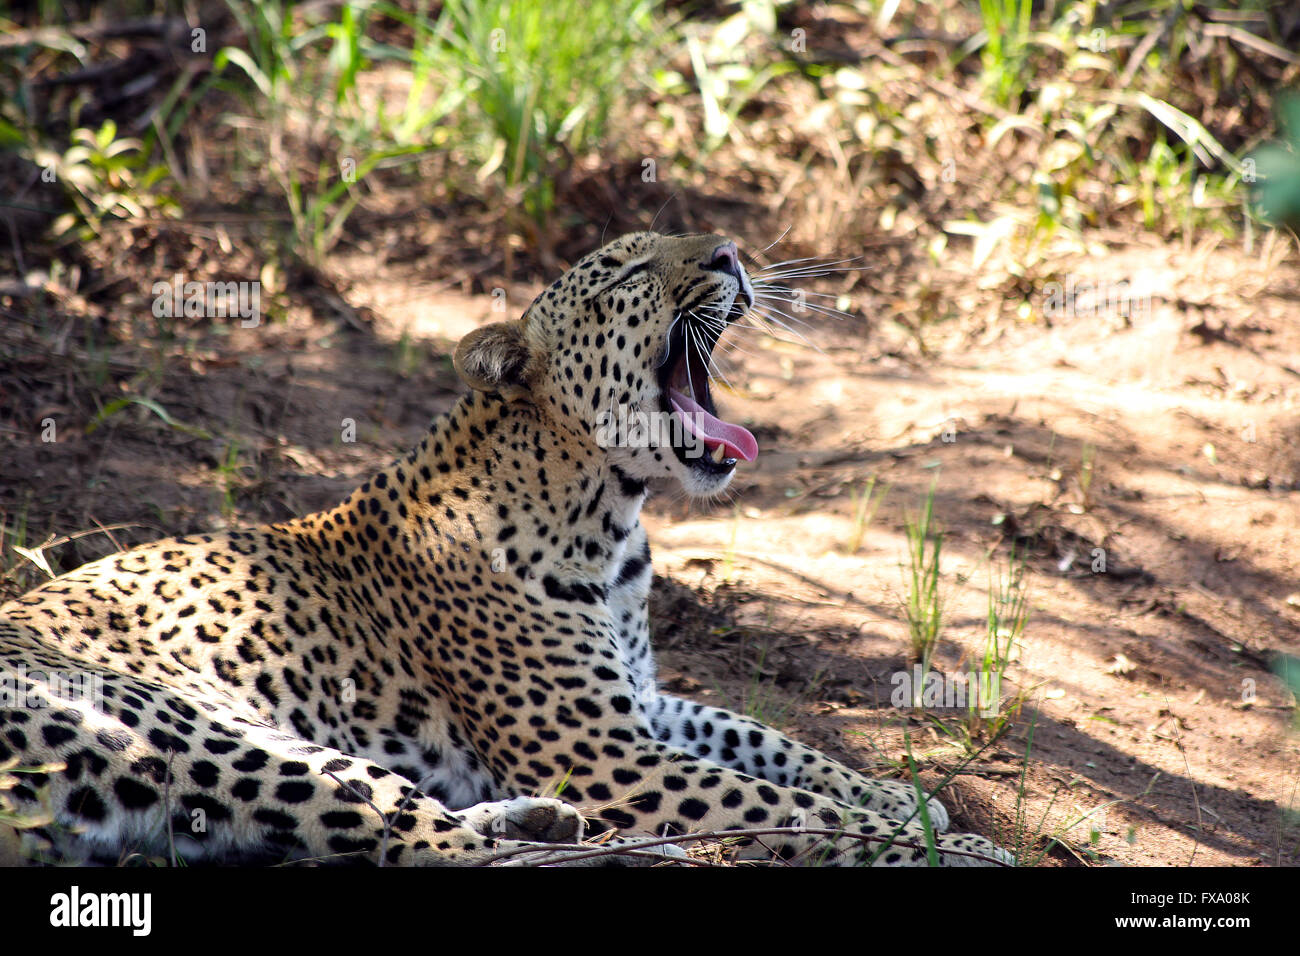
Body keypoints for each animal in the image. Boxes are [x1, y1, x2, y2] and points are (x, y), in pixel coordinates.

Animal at [0, 232, 1010, 867]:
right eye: (625, 271)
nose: (731, 253)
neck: (612, 520)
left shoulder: (641, 709)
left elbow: (775, 744)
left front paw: (903, 799)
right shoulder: (612, 753)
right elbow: (782, 803)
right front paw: (959, 846)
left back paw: (548, 821)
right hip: (187, 729)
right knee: (421, 844)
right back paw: (597, 850)